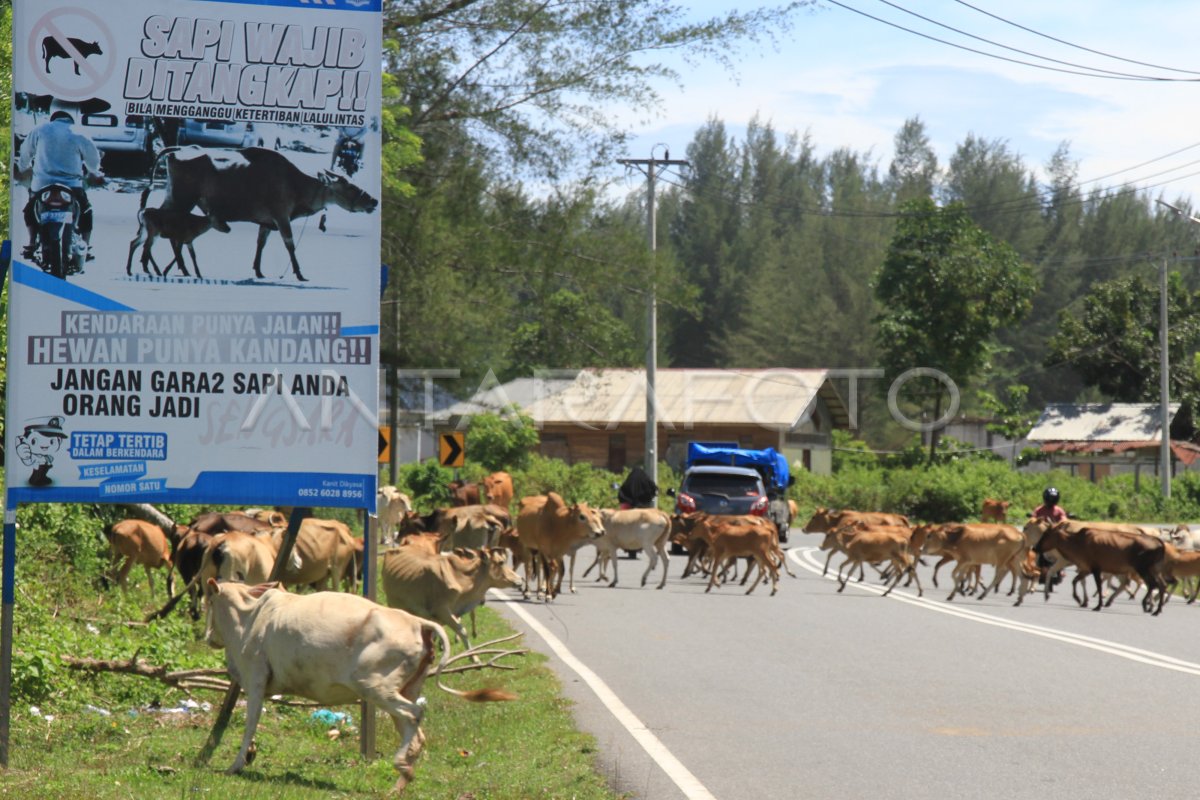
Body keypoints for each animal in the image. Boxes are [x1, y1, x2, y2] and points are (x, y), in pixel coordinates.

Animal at [148, 146, 378, 282]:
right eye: (349, 186)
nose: (373, 200)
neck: (296, 184)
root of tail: (174, 152)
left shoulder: (267, 222)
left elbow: (261, 243)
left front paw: (258, 270)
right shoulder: (281, 216)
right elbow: (289, 244)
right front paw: (299, 273)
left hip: (174, 199)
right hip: (181, 200)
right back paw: (171, 268)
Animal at [203, 580, 514, 793]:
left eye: (209, 600)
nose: (207, 637)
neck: (251, 616)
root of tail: (417, 622)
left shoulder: (255, 680)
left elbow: (250, 724)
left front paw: (236, 764)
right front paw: (249, 755)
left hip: (375, 688)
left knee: (413, 714)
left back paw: (402, 768)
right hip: (404, 689)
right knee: (416, 732)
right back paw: (400, 783)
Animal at [381, 546, 522, 651]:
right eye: (501, 562)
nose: (520, 579)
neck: (462, 579)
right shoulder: (442, 611)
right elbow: (462, 630)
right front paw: (474, 658)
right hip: (392, 602)